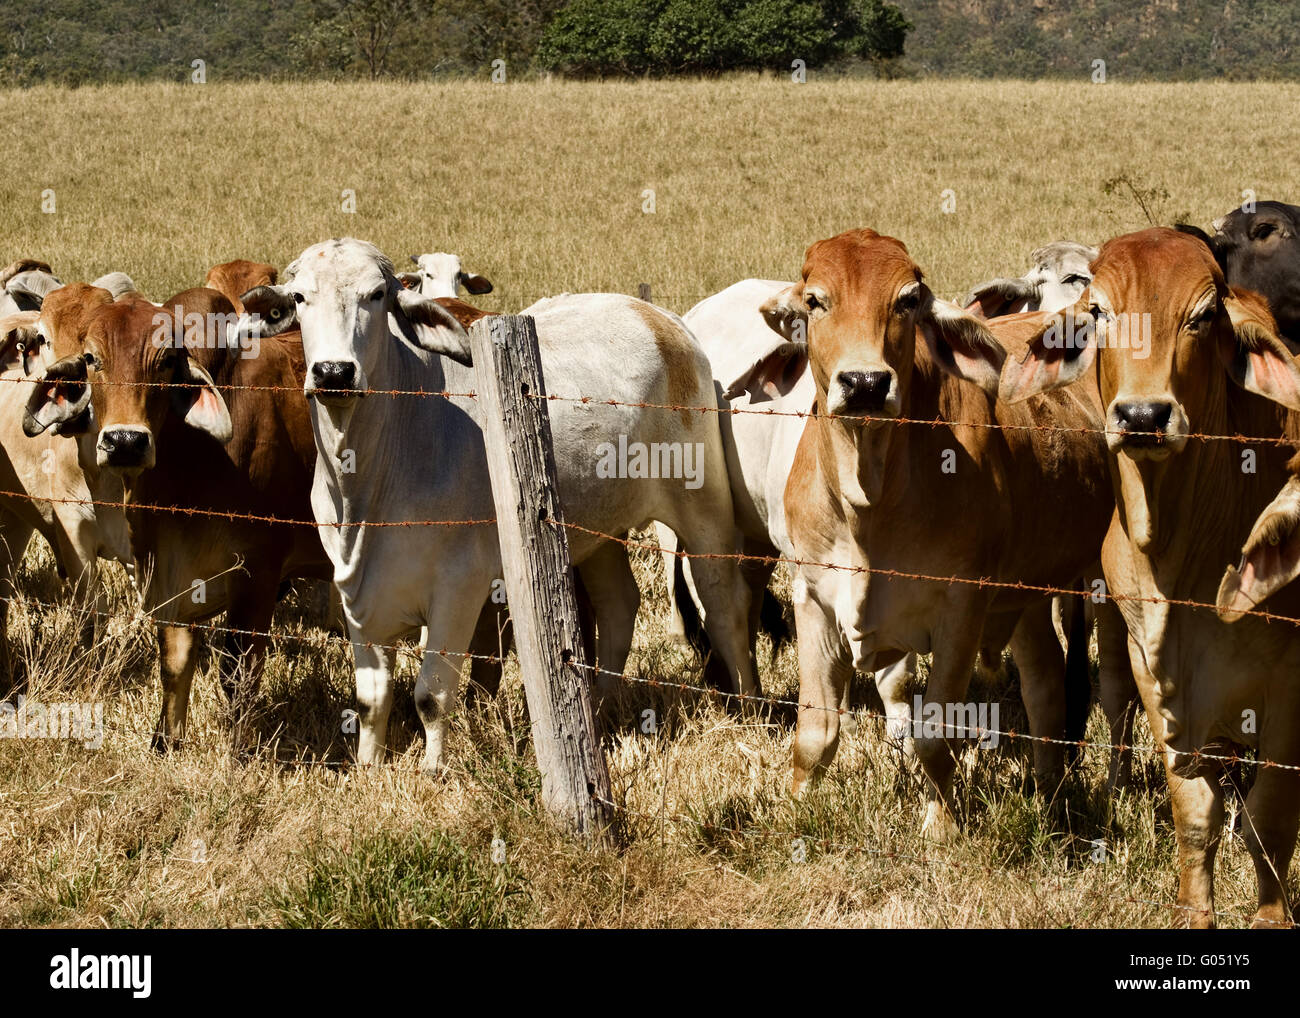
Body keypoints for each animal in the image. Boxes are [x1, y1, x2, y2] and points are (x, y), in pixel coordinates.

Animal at [246, 237, 758, 774]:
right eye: (300, 297)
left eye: (377, 294)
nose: (334, 373)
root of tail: (664, 321)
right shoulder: (357, 597)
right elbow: (372, 700)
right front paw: (369, 767)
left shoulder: (458, 586)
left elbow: (431, 696)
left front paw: (434, 770)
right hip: (600, 533)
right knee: (620, 604)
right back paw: (600, 706)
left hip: (702, 506)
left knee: (724, 603)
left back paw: (747, 709)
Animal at [1000, 226, 1300, 929]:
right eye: (1100, 311)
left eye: (1204, 316)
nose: (1142, 416)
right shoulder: (1152, 667)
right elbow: (1196, 814)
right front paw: (1195, 912)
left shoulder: (1289, 689)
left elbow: (1271, 823)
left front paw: (1271, 916)